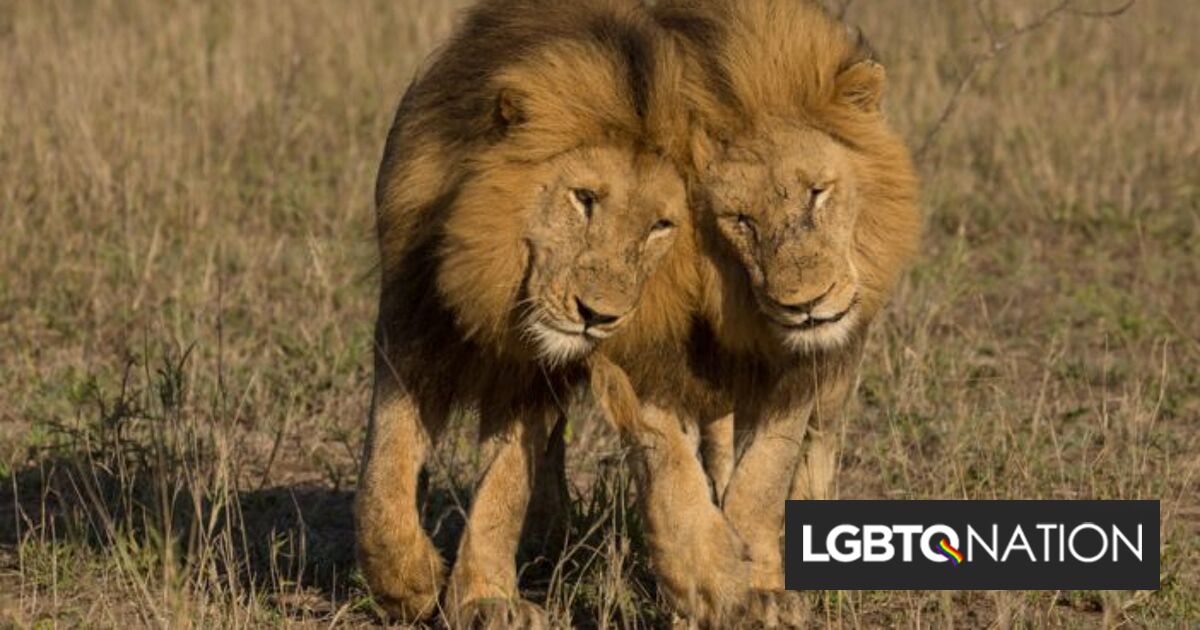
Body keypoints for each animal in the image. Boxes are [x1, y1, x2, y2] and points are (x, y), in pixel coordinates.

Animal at [353, 0, 693, 625]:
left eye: (660, 226)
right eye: (584, 198)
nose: (599, 316)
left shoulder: (532, 376)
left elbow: (505, 485)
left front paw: (484, 599)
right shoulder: (412, 327)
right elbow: (383, 471)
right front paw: (409, 581)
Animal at [597, 0, 922, 624]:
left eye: (818, 192)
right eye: (740, 221)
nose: (805, 305)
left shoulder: (798, 369)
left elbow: (768, 473)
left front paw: (766, 589)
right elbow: (668, 466)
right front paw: (700, 582)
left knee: (819, 438)